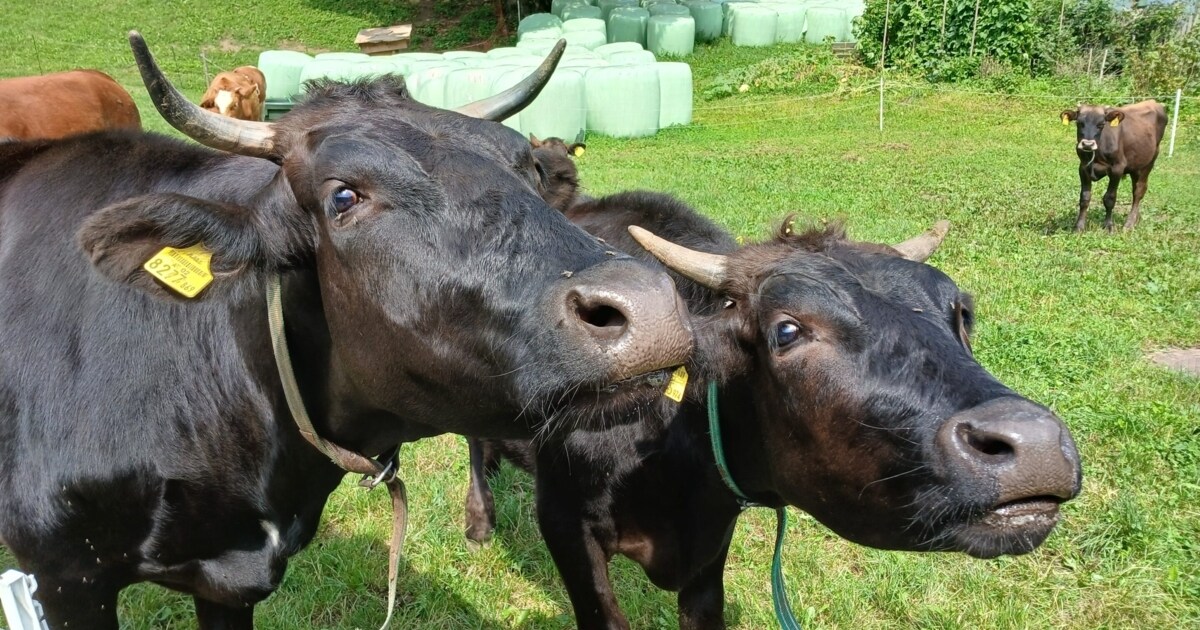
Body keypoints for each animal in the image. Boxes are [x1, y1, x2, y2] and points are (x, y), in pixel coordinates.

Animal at [464, 191, 1083, 629]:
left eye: (960, 312)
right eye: (786, 330)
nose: (1035, 443)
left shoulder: (713, 536)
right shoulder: (563, 520)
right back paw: (479, 520)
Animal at [1061, 100, 1167, 232]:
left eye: (1101, 124)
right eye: (1079, 123)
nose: (1088, 144)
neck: (1097, 154)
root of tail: (1153, 102)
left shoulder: (1117, 169)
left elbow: (1109, 198)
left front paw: (1108, 226)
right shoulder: (1083, 168)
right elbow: (1084, 197)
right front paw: (1079, 227)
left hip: (1149, 162)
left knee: (1139, 191)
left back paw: (1129, 224)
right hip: (1135, 166)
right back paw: (1136, 219)